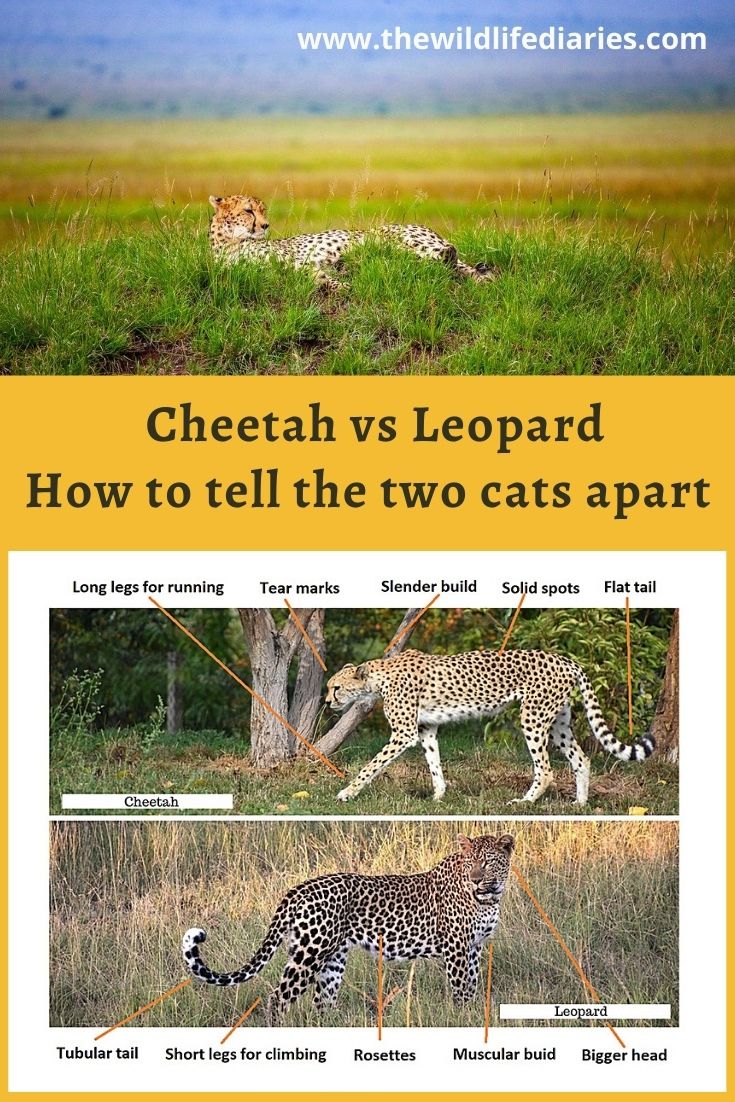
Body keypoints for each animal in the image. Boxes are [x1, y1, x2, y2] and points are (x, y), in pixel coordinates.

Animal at [182, 832, 514, 1022]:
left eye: (487, 862)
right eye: (471, 862)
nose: (476, 878)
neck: (490, 896)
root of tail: (297, 889)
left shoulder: (474, 947)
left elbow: (472, 984)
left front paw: (472, 1013)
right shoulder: (456, 948)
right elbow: (460, 988)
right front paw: (462, 1017)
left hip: (332, 959)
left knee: (322, 1002)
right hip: (310, 954)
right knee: (278, 998)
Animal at [208, 194, 497, 289]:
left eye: (263, 210)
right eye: (248, 210)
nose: (265, 225)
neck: (228, 243)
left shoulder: (295, 261)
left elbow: (317, 274)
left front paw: (343, 286)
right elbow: (317, 277)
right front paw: (339, 285)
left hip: (396, 239)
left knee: (444, 258)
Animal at [325, 649, 655, 806]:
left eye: (336, 688)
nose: (327, 702)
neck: (378, 677)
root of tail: (565, 659)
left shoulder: (404, 733)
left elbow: (371, 765)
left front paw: (347, 792)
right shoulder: (426, 728)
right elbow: (434, 764)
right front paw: (439, 795)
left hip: (533, 717)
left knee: (546, 769)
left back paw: (525, 801)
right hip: (557, 720)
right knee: (581, 758)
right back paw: (579, 802)